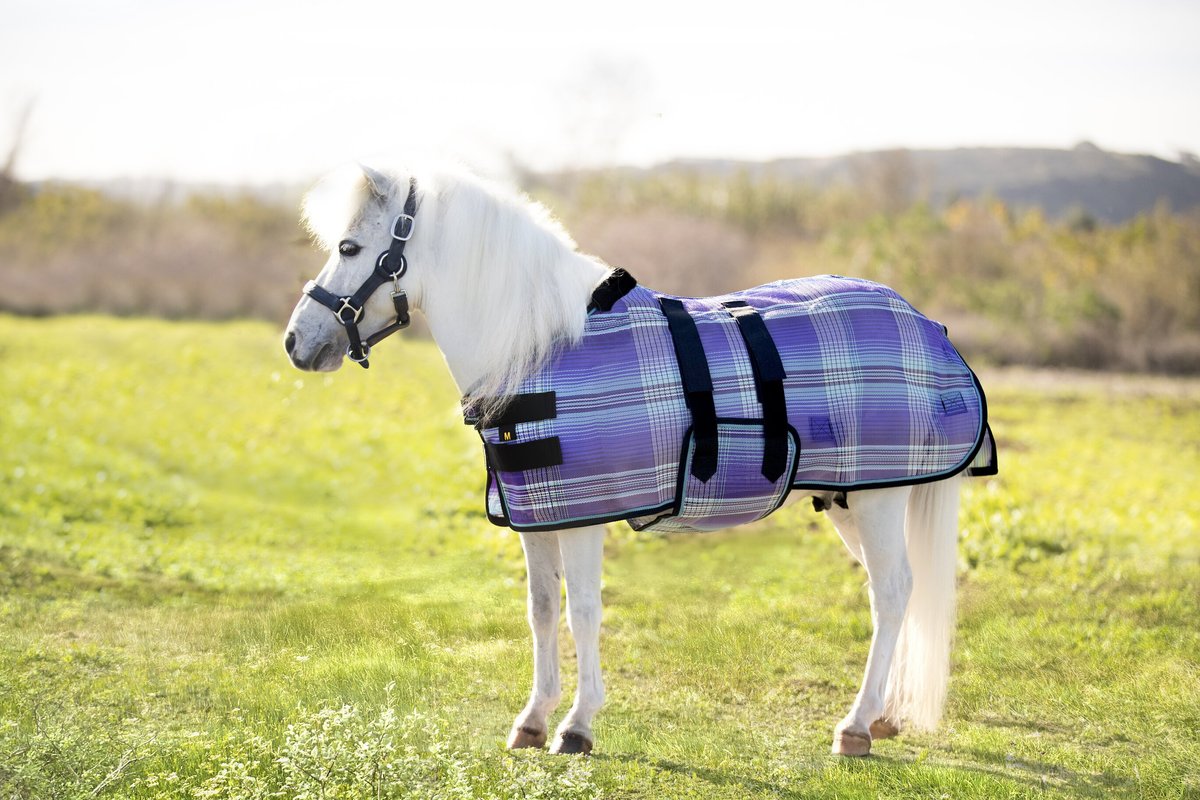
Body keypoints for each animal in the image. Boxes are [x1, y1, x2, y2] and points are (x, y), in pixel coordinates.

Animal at [283, 161, 994, 758]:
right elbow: (542, 610)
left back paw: (856, 727)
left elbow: (583, 611)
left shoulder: (581, 516)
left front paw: (576, 726)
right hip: (846, 497)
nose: (296, 342)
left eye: (349, 248)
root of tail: (926, 324)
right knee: (894, 590)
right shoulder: (536, 516)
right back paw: (885, 717)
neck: (537, 344)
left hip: (880, 497)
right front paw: (532, 720)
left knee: (892, 593)